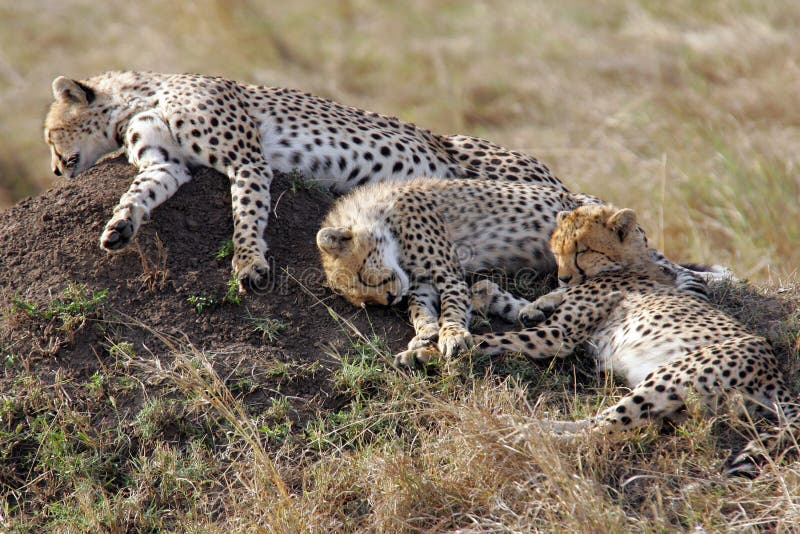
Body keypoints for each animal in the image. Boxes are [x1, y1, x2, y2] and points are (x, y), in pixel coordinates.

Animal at [43, 71, 563, 291]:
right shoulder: (166, 165)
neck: (138, 100)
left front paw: (248, 263)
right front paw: (119, 227)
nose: (54, 170)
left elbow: (246, 214)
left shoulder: (248, 160)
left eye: (50, 134)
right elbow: (138, 192)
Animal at [316, 177, 726, 367]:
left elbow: (453, 308)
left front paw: (452, 336)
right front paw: (425, 331)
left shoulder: (446, 273)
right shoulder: (419, 283)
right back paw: (532, 305)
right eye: (365, 301)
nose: (388, 298)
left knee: (660, 268)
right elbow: (420, 309)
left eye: (364, 276)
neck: (382, 213)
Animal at [474, 203, 798, 477]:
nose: (563, 277)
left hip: (670, 376)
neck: (627, 264)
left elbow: (495, 339)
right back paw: (524, 423)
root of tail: (774, 371)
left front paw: (461, 341)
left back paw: (529, 435)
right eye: (557, 250)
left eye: (582, 250)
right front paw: (493, 294)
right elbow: (524, 307)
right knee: (602, 421)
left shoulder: (557, 337)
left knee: (601, 429)